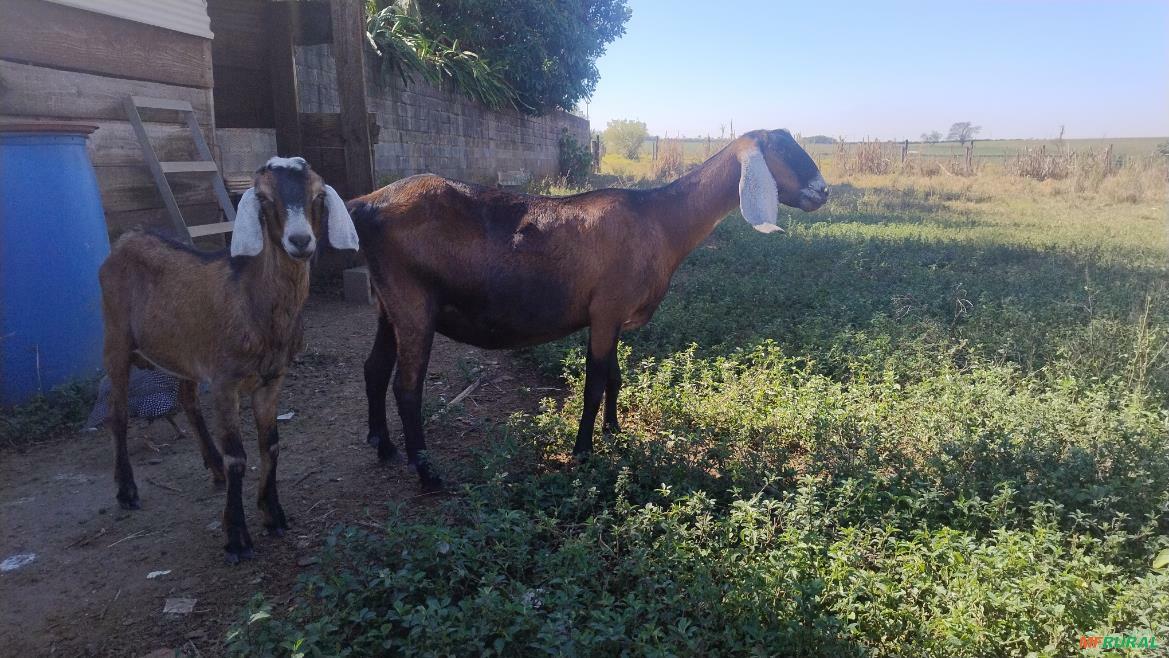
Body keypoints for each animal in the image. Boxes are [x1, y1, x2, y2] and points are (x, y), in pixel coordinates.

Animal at [98, 157, 359, 563]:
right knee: (119, 413)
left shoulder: (272, 379)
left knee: (188, 401)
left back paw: (213, 466)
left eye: (318, 194)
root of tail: (127, 237)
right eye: (264, 198)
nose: (300, 241)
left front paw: (273, 514)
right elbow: (238, 455)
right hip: (116, 338)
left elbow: (271, 444)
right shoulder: (225, 382)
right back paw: (127, 490)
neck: (252, 299)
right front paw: (236, 537)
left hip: (184, 352)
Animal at [348, 129, 828, 491]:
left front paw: (613, 431)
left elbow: (614, 378)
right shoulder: (607, 310)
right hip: (413, 304)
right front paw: (582, 452)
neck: (660, 220)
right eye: (782, 150)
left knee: (374, 367)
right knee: (406, 388)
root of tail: (362, 204)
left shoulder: (609, 316)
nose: (823, 191)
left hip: (389, 304)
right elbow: (594, 384)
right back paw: (427, 473)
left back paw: (383, 445)